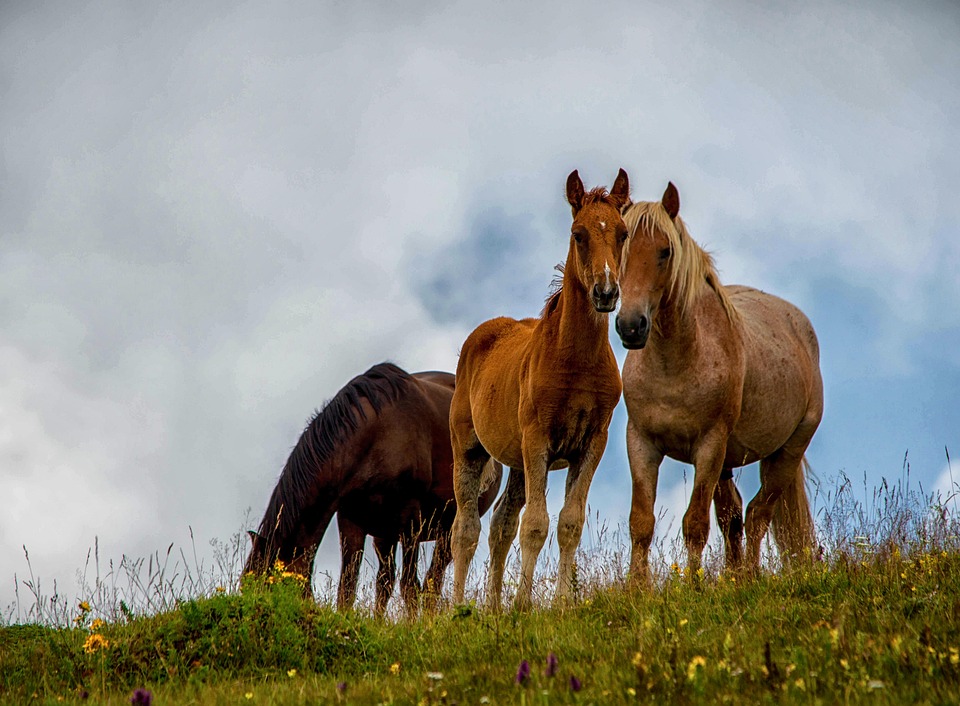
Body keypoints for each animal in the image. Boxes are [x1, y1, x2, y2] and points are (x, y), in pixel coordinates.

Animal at [243, 362, 503, 616]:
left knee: (432, 581)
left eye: (270, 587)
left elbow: (410, 585)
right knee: (387, 580)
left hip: (446, 527)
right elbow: (348, 587)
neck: (379, 434)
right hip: (385, 533)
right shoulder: (351, 520)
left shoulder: (410, 520)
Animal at [450, 169, 630, 610]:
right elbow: (535, 523)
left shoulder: (591, 443)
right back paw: (458, 608)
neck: (576, 361)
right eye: (578, 233)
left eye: (622, 233)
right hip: (469, 448)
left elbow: (568, 522)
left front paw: (562, 603)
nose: (605, 292)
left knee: (500, 523)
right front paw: (523, 605)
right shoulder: (538, 439)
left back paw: (493, 609)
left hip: (516, 460)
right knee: (465, 529)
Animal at [615, 182, 823, 582]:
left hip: (785, 452)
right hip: (728, 464)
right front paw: (636, 588)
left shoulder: (709, 446)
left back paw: (749, 578)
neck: (674, 365)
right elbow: (641, 523)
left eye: (665, 251)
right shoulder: (641, 442)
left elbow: (695, 524)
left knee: (758, 514)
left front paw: (694, 585)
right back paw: (734, 576)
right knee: (734, 517)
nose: (631, 326)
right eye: (620, 246)